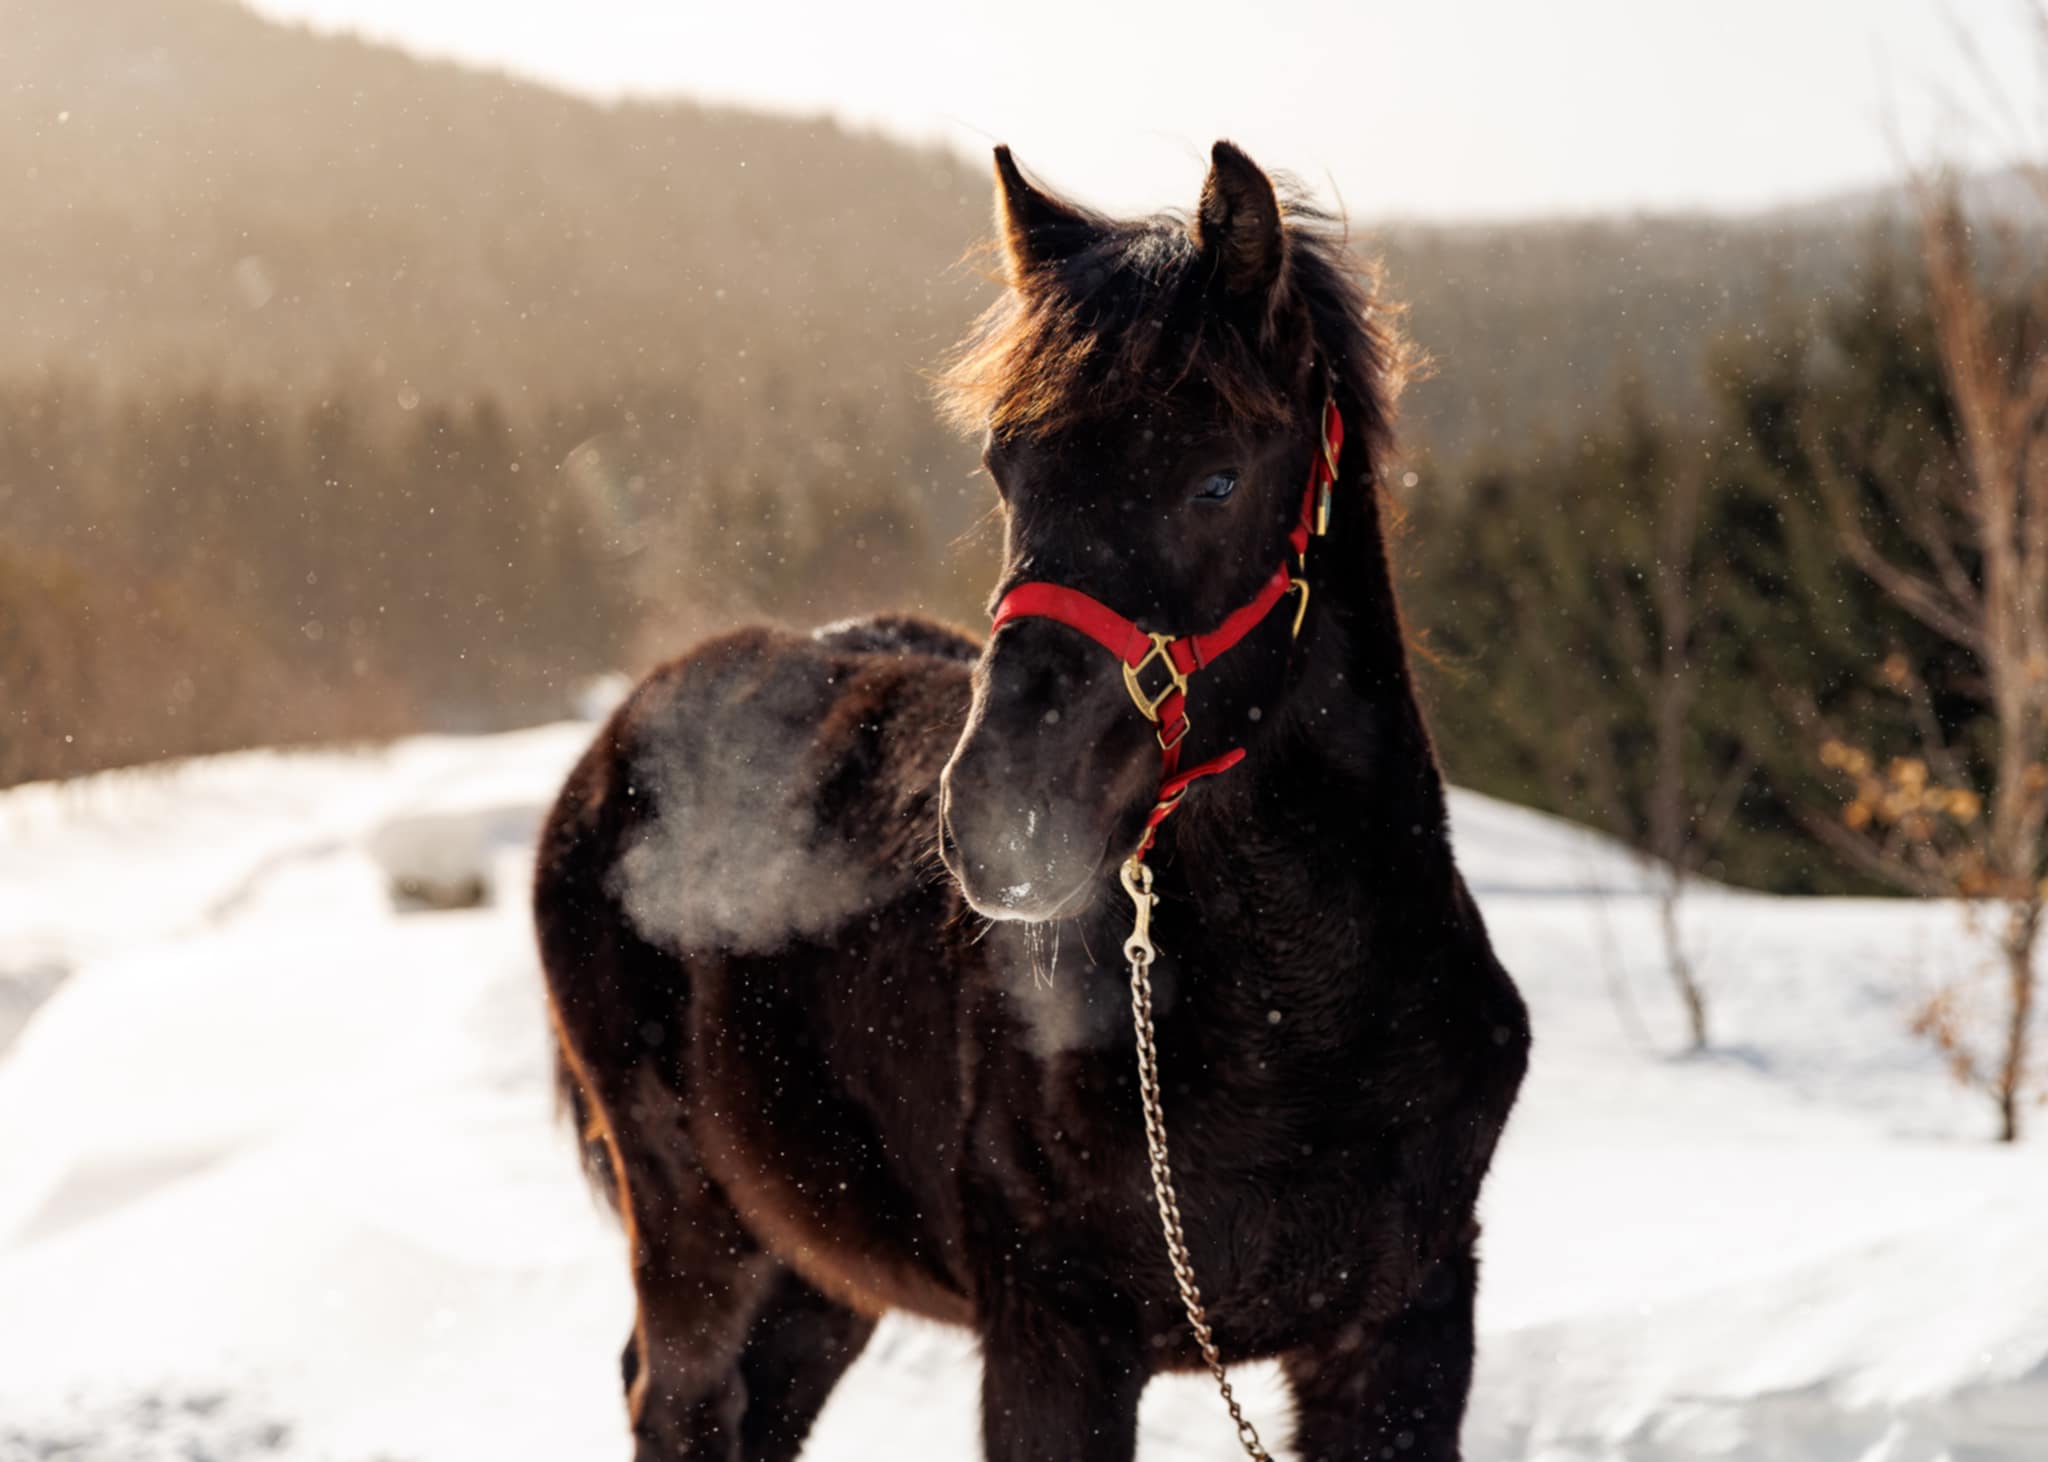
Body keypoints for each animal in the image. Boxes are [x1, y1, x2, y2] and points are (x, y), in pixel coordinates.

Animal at [534, 140, 1529, 1462]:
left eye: (1218, 479)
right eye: (1007, 468)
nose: (1002, 814)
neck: (1307, 1028)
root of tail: (617, 741)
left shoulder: (1403, 1333)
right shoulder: (1051, 1345)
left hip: (821, 1265)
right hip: (698, 1232)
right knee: (678, 1396)